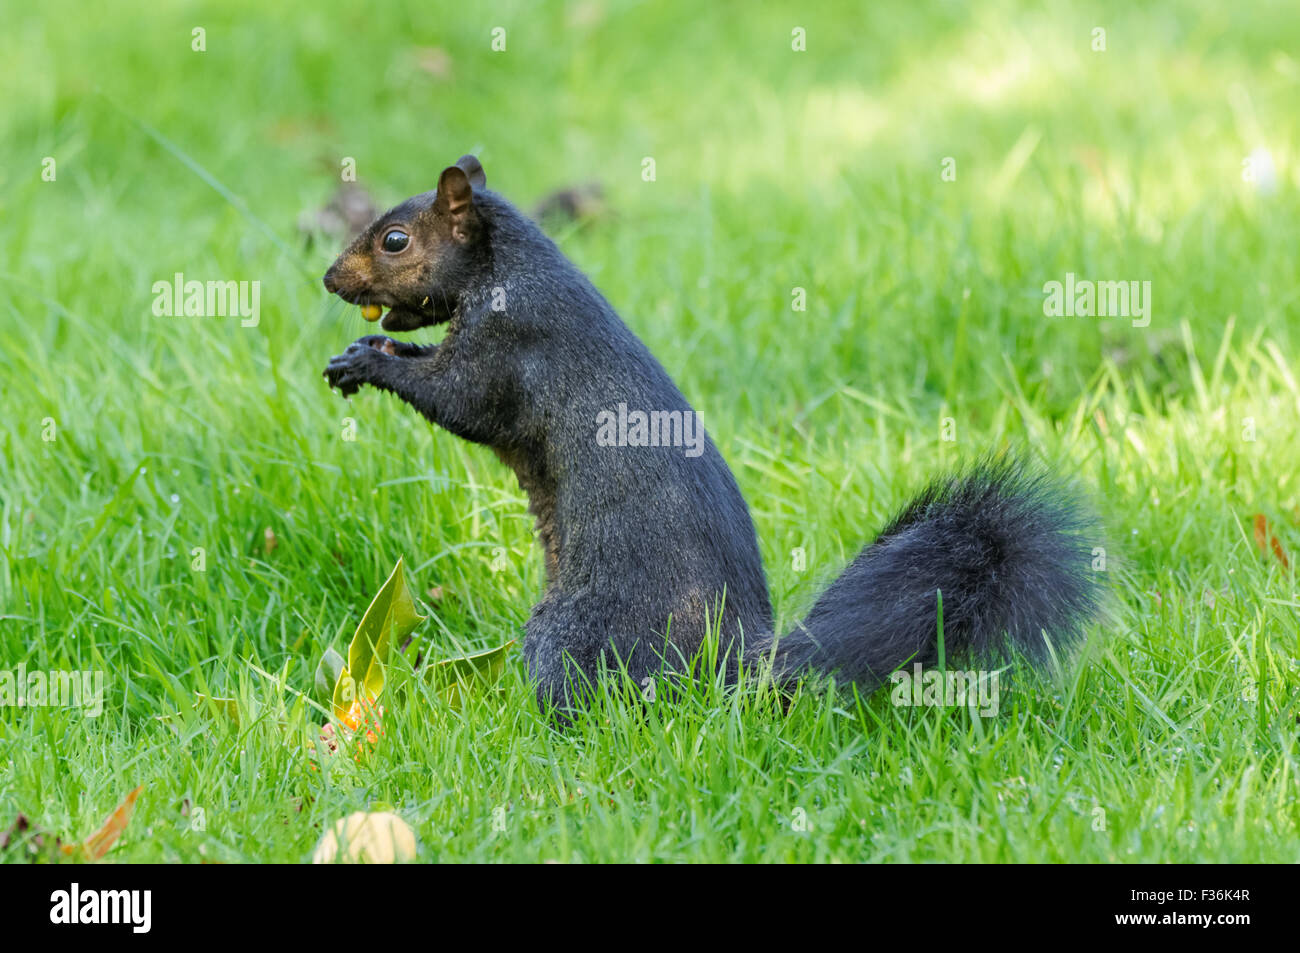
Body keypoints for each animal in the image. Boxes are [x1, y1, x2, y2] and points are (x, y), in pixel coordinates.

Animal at [322, 154, 1103, 717]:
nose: (331, 278)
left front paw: (367, 362)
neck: (510, 264)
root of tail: (733, 663)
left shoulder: (512, 342)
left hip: (574, 634)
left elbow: (466, 402)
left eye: (395, 240)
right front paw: (366, 349)